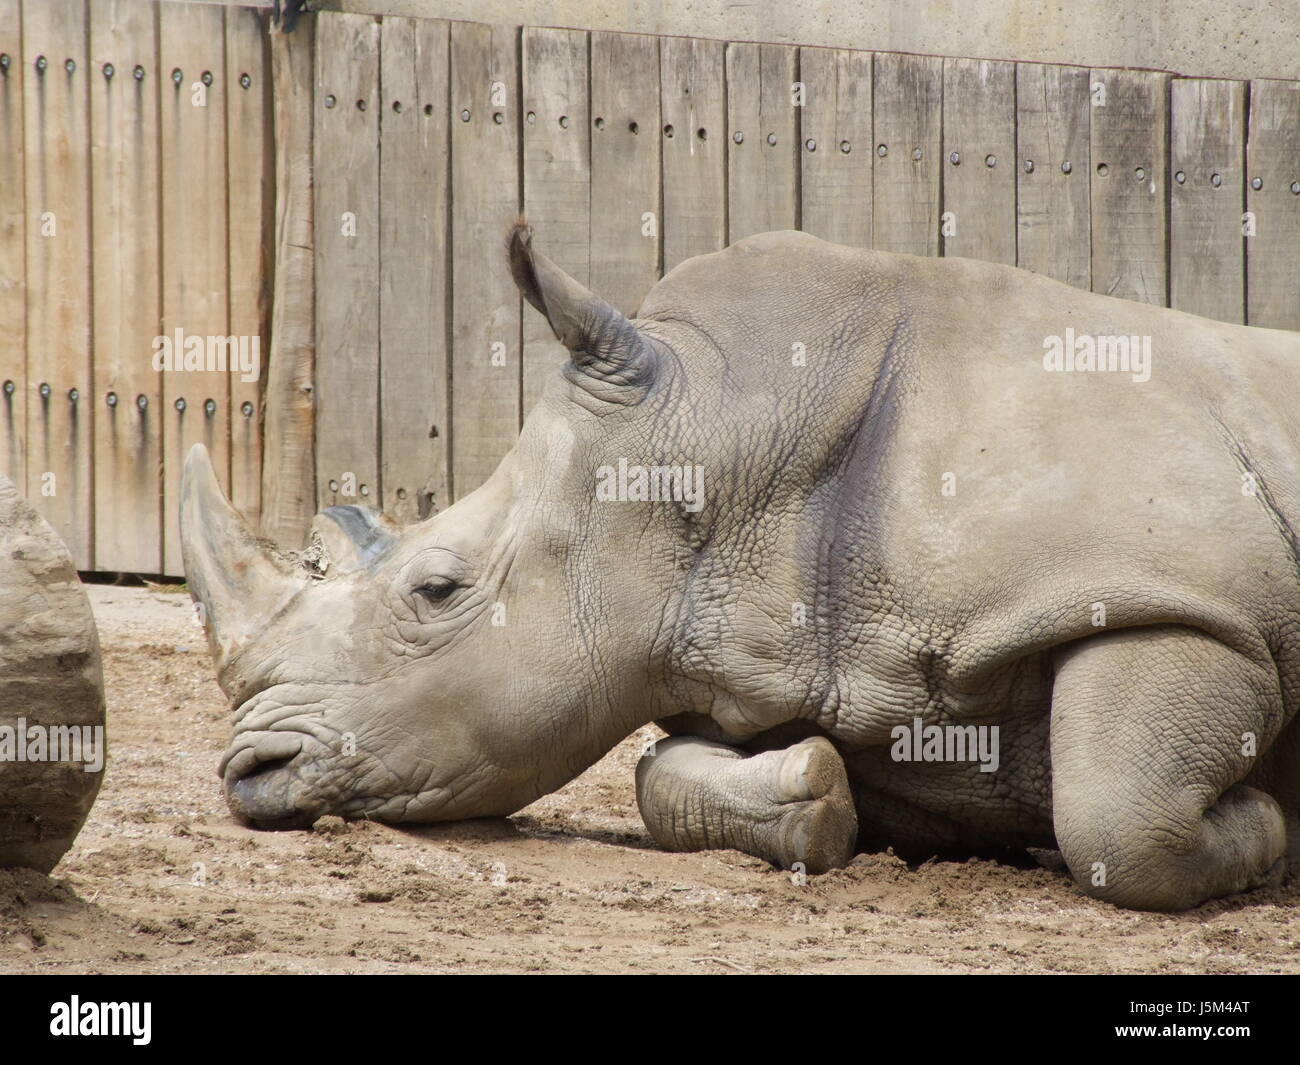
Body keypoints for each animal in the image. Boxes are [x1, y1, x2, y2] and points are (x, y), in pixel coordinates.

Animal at [182, 225, 1300, 912]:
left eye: (437, 589)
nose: (249, 772)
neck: (722, 438)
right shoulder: (763, 643)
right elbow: (665, 774)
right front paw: (817, 793)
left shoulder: (1191, 601)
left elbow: (1118, 813)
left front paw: (1264, 827)